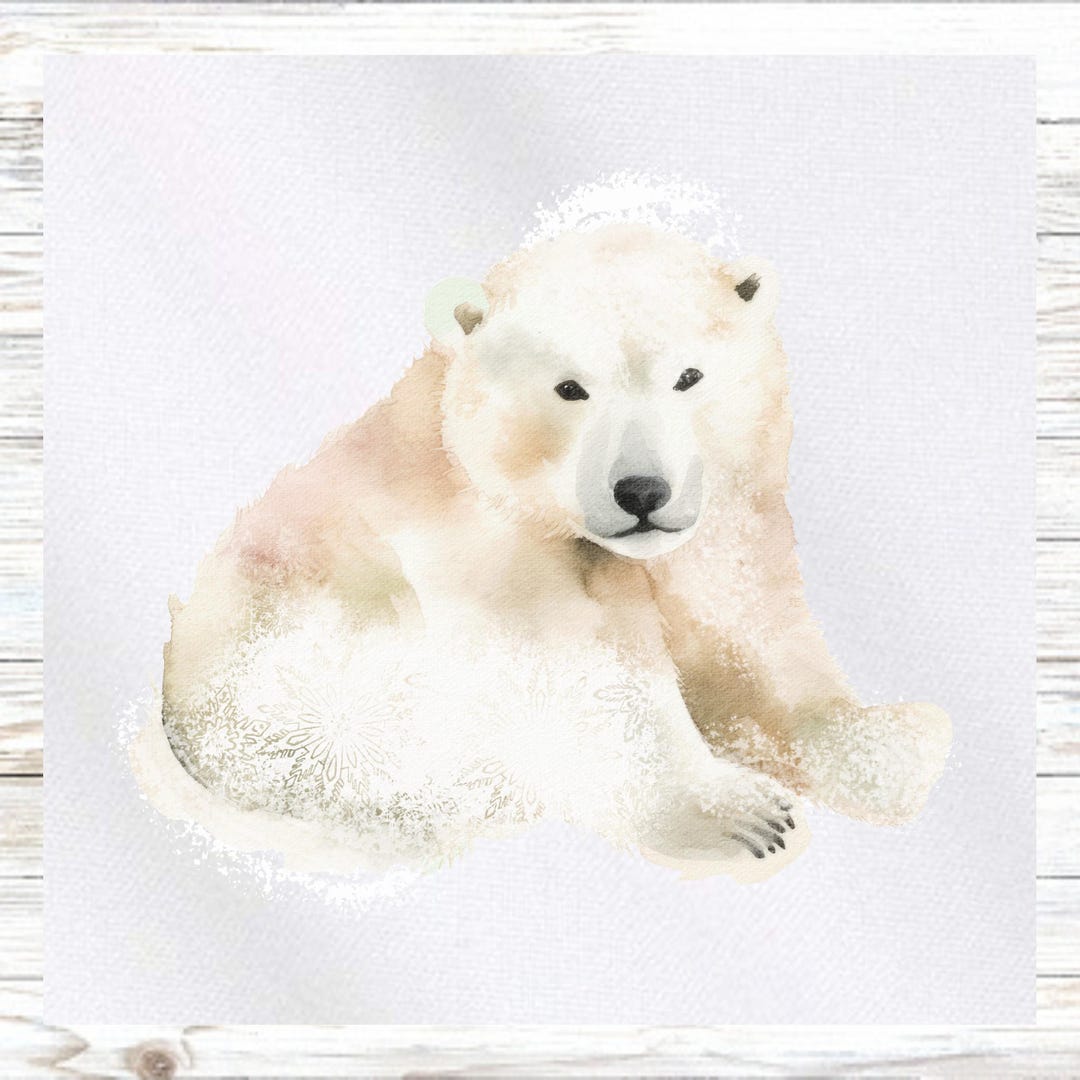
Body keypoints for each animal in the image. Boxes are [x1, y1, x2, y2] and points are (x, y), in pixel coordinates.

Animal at [159, 222, 951, 881]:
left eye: (688, 377)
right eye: (570, 389)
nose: (642, 491)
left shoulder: (724, 519)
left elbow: (750, 628)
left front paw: (892, 748)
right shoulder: (487, 542)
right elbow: (585, 675)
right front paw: (743, 816)